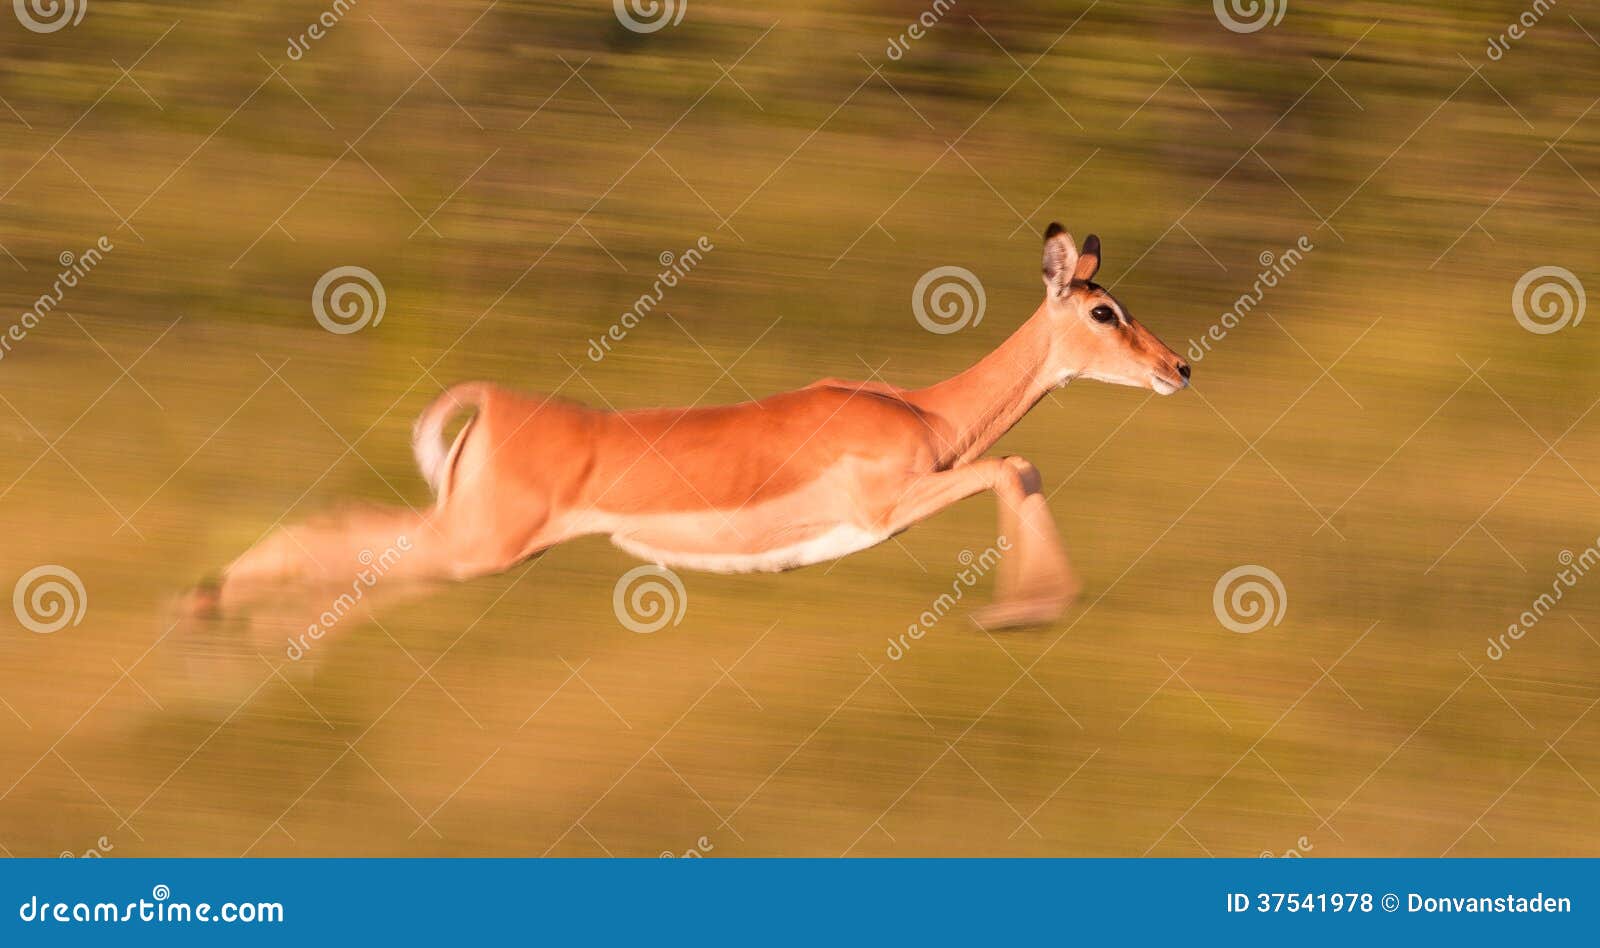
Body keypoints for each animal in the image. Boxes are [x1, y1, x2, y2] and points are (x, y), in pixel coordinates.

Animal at [205, 225, 1189, 629]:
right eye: (1104, 311)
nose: (1179, 367)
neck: (923, 409)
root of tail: (493, 402)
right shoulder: (884, 509)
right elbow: (1014, 464)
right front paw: (1020, 612)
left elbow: (1019, 466)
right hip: (474, 543)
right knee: (325, 547)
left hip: (471, 541)